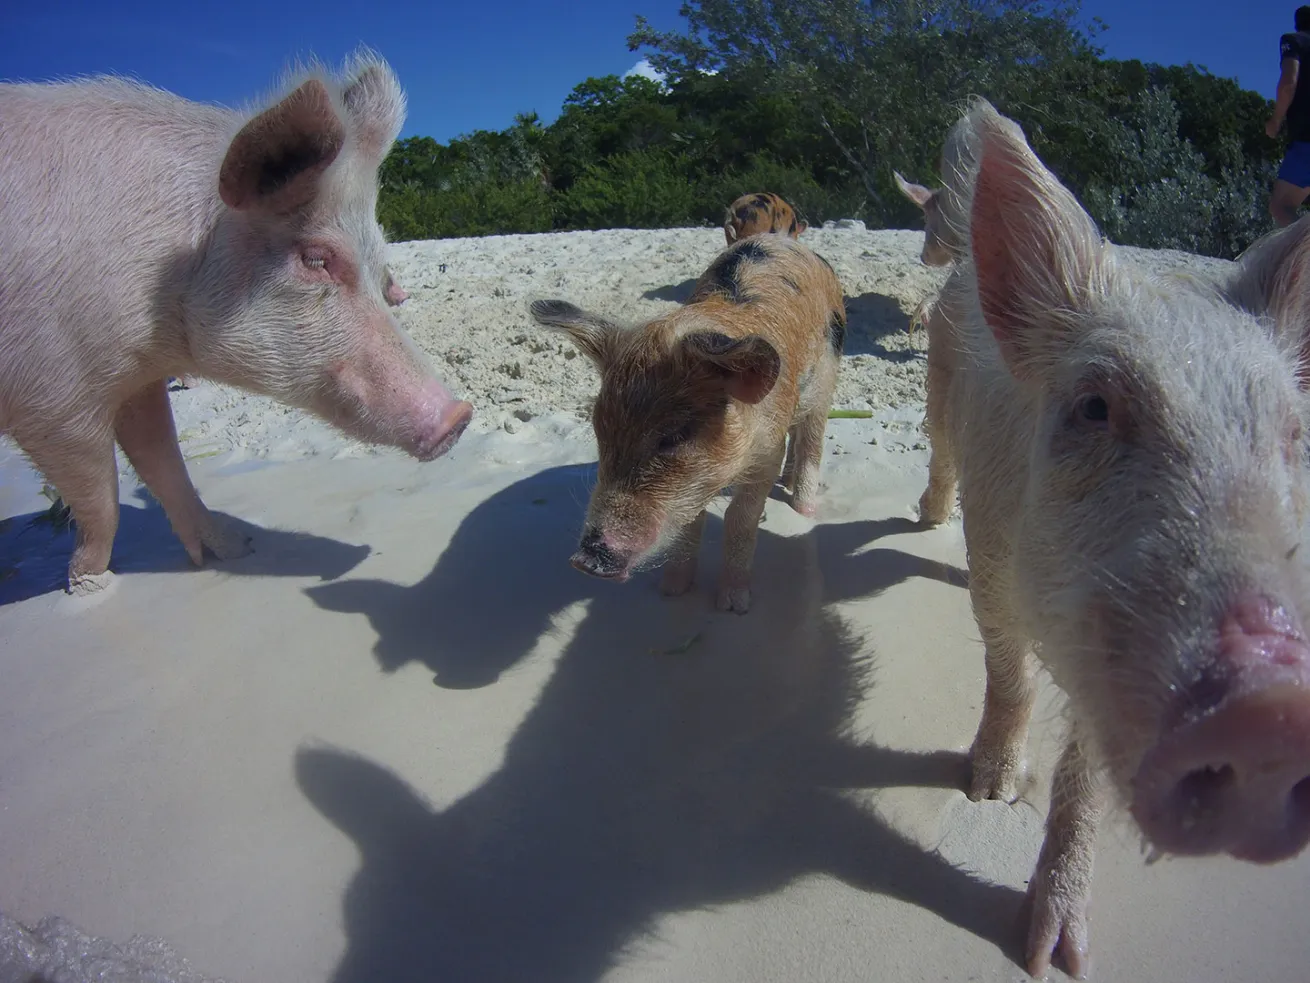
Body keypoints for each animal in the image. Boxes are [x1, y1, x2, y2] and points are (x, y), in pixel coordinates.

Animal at [0, 49, 473, 595]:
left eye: (379, 263)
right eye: (316, 259)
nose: (459, 416)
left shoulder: (137, 379)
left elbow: (165, 463)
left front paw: (235, 550)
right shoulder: (49, 397)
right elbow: (102, 494)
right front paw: (88, 588)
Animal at [529, 234, 844, 614]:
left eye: (675, 435)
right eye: (599, 430)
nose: (584, 561)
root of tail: (782, 238)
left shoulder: (768, 450)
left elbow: (741, 520)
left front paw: (733, 606)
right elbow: (691, 523)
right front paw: (672, 592)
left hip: (826, 379)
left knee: (811, 437)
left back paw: (804, 508)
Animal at [915, 97, 1310, 978]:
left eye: (1294, 434)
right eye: (1094, 407)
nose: (1274, 704)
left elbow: (1087, 778)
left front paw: (1056, 958)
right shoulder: (993, 548)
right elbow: (1005, 666)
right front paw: (986, 788)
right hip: (936, 377)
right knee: (938, 451)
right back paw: (921, 518)